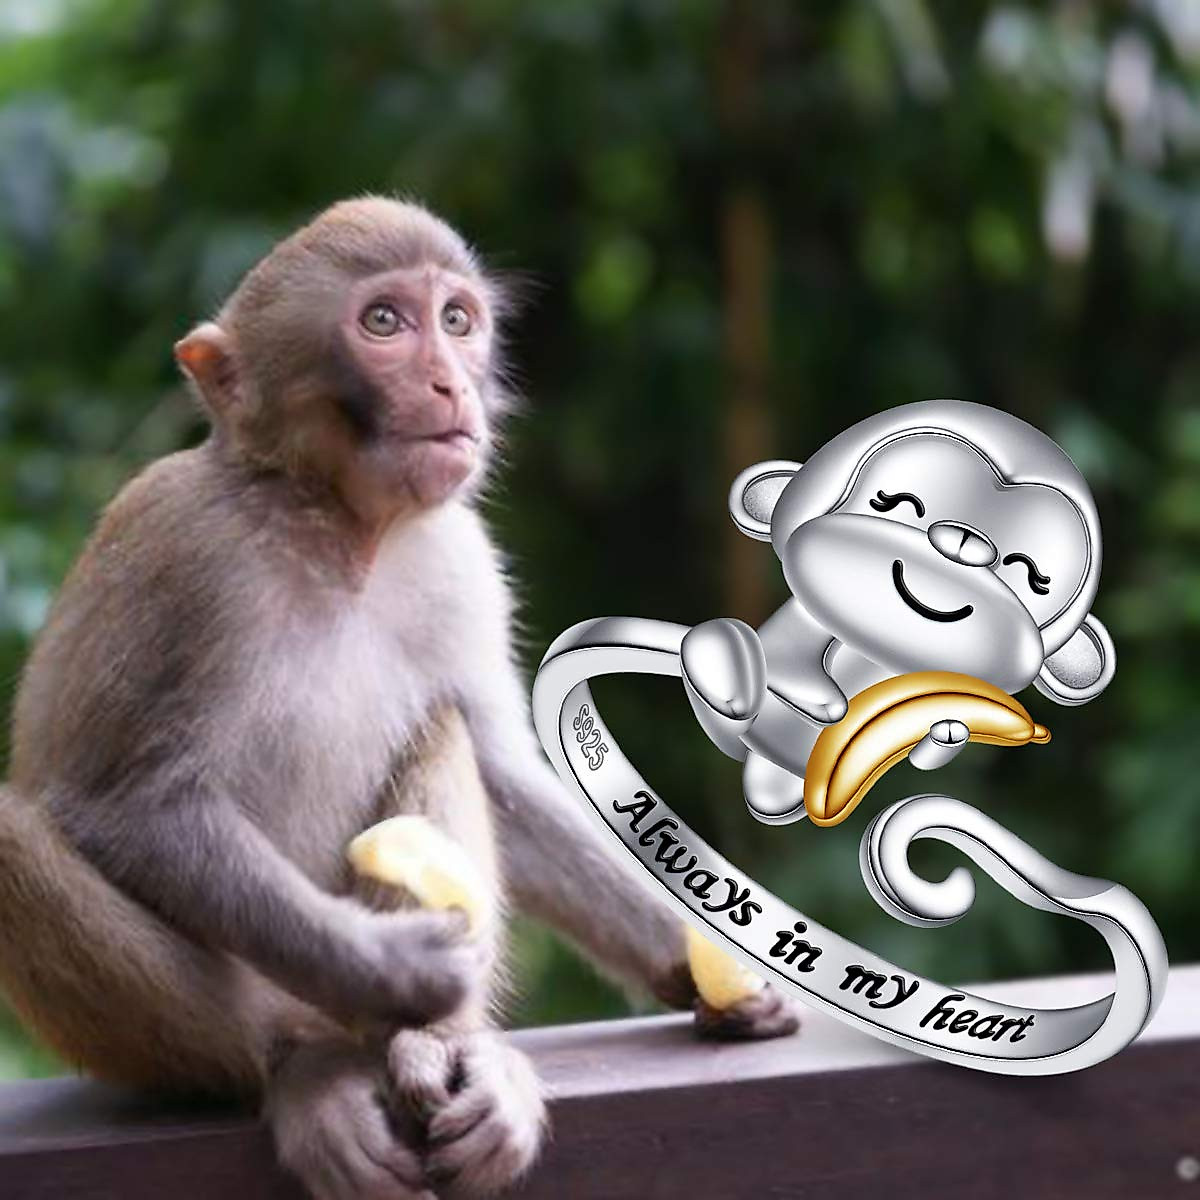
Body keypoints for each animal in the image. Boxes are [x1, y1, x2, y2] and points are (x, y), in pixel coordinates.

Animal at [0, 196, 798, 1200]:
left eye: (456, 320)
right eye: (384, 322)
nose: (452, 383)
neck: (339, 527)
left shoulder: (461, 558)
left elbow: (500, 773)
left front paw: (698, 954)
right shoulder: (183, 551)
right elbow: (131, 805)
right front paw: (395, 966)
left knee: (441, 728)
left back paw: (444, 1051)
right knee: (16, 841)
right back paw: (308, 1066)